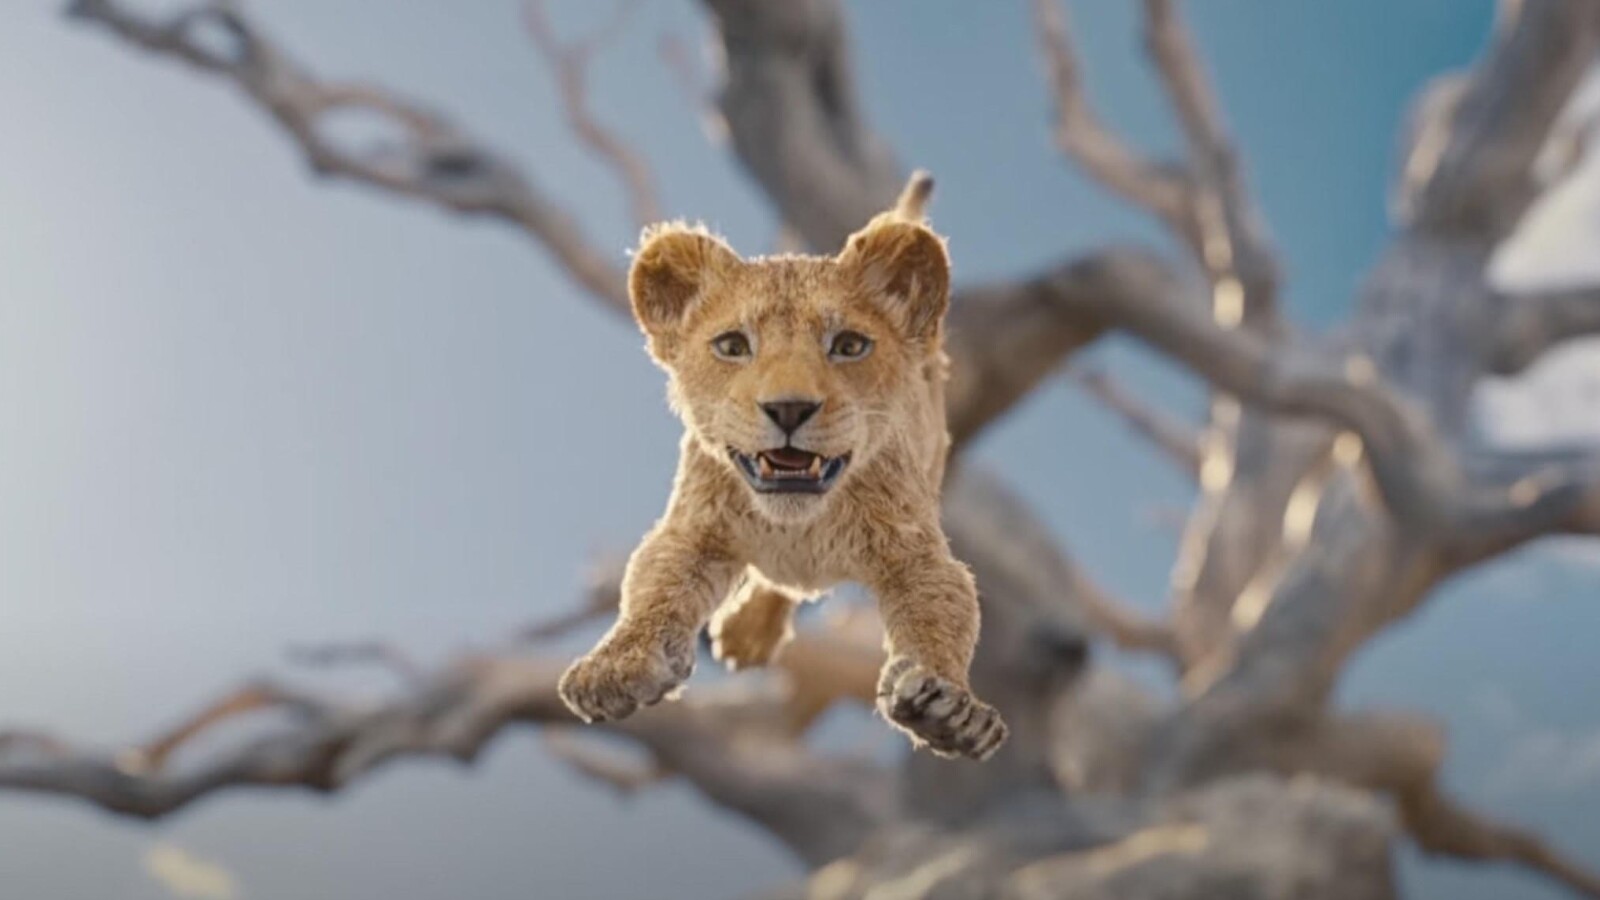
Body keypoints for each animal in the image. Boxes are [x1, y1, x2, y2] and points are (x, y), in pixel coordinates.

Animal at [557, 174, 1007, 760]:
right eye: (732, 345)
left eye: (849, 345)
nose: (789, 408)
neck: (800, 524)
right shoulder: (692, 529)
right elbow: (653, 588)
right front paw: (615, 668)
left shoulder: (917, 552)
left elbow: (941, 615)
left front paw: (949, 709)